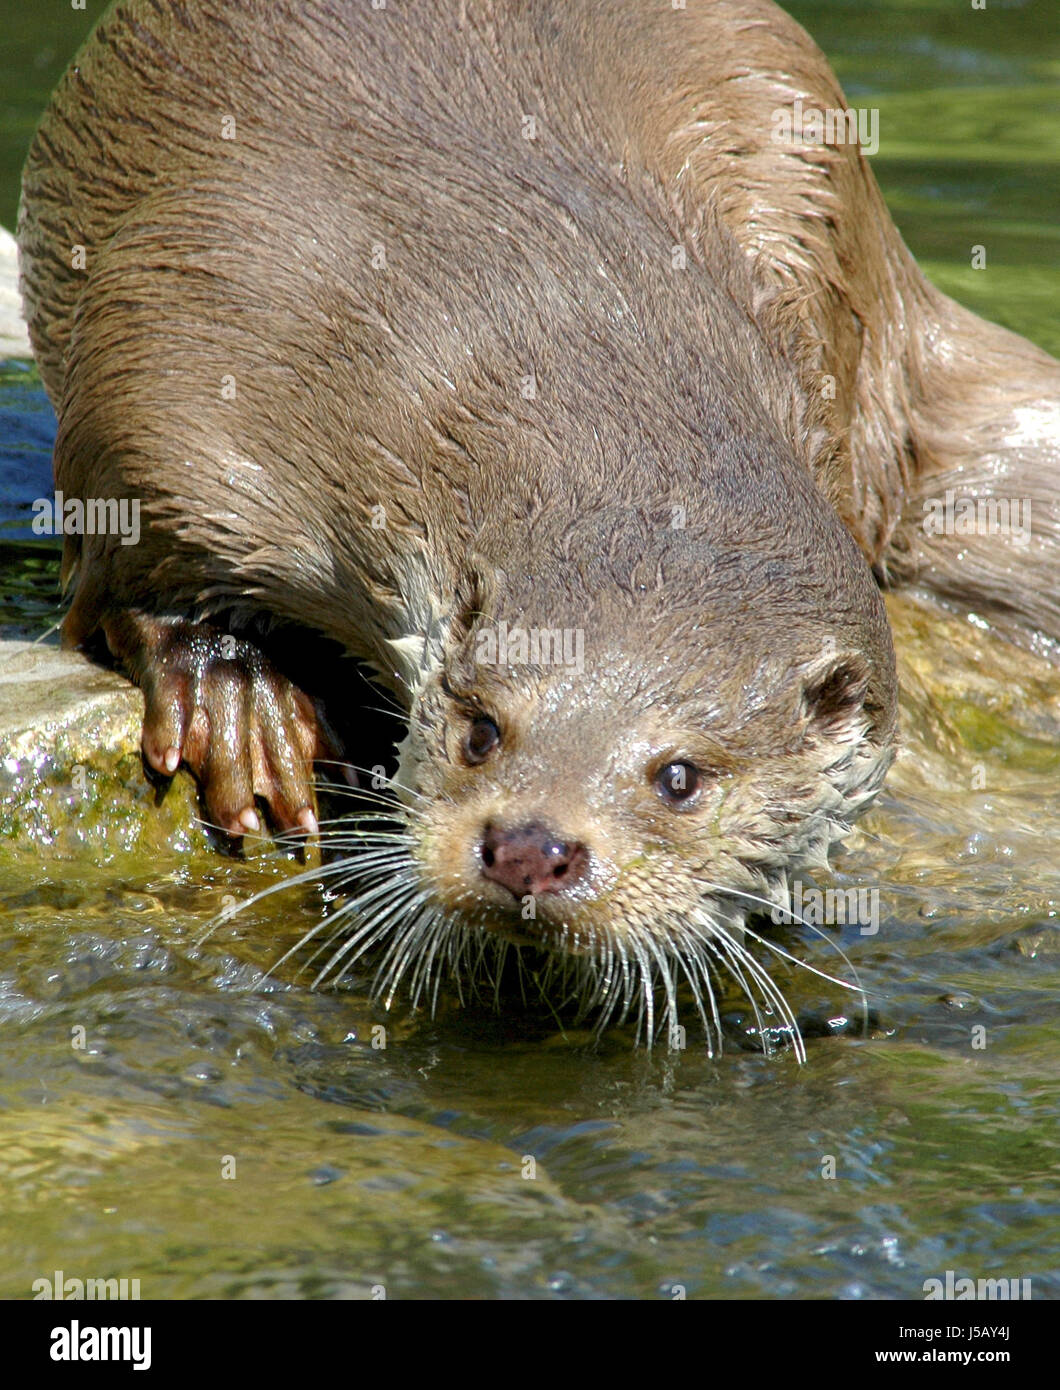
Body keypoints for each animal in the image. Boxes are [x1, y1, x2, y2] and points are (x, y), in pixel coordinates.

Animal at [18, 0, 1059, 1050]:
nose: (529, 848)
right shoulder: (189, 337)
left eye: (680, 777)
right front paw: (233, 697)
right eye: (481, 731)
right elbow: (137, 551)